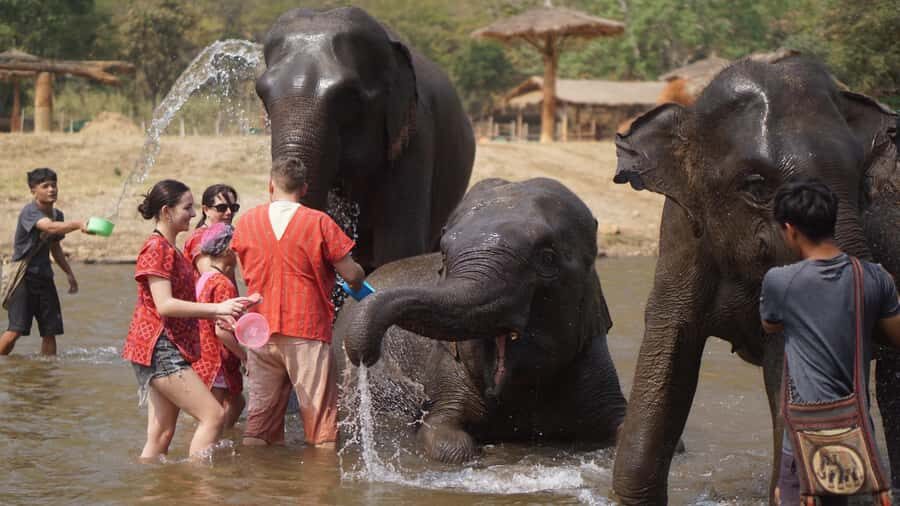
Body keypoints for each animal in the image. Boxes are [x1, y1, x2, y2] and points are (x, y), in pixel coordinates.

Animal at [337, 177, 627, 463]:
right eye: (444, 255)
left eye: (547, 258)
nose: (366, 353)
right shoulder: (447, 363)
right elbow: (443, 436)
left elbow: (622, 428)